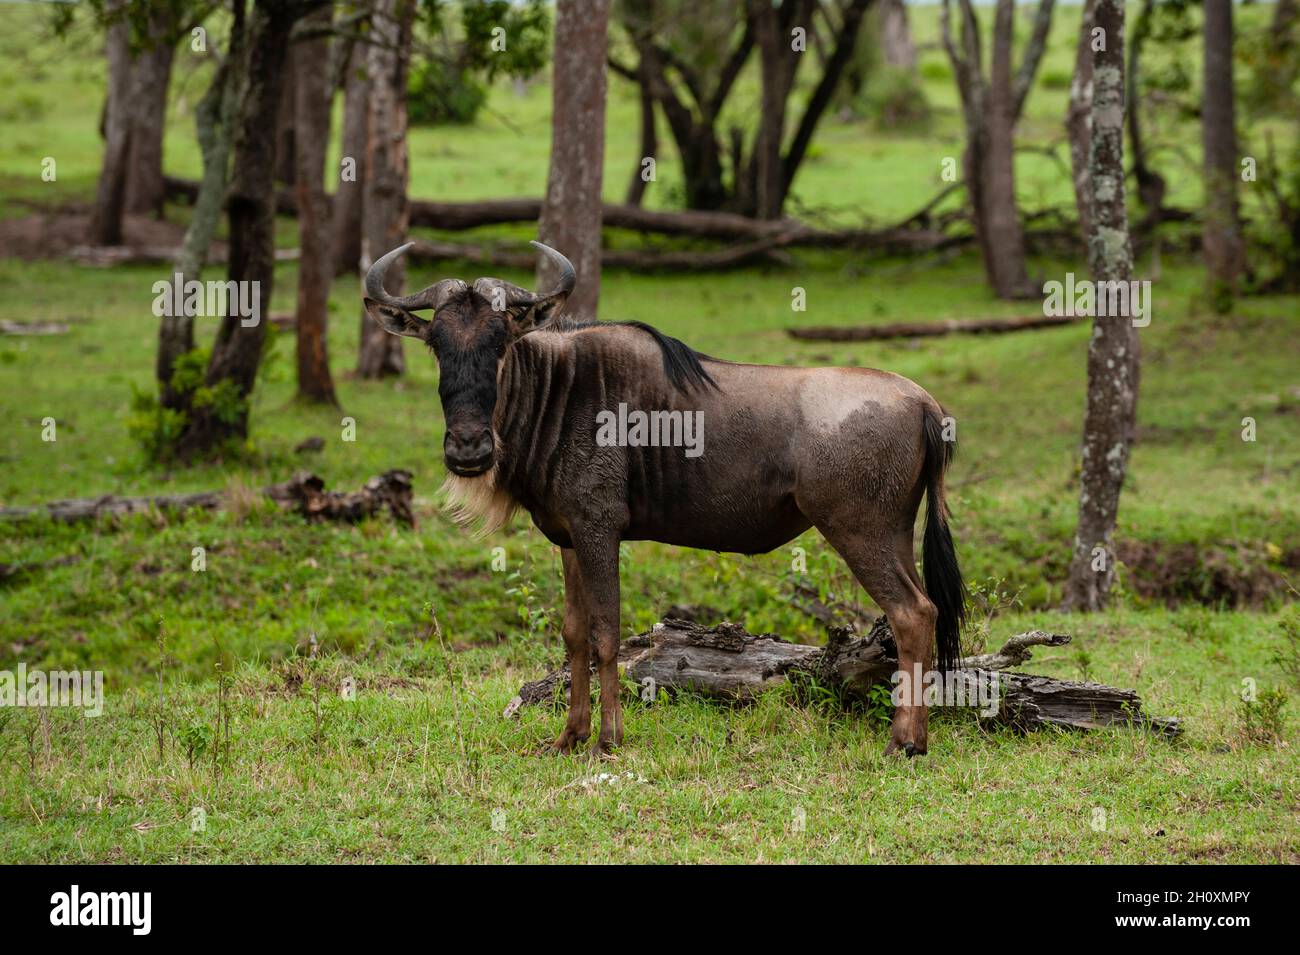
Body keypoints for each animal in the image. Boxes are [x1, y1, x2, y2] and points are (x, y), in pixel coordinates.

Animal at [364, 242, 965, 758]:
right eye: (437, 345)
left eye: (500, 343)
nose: (468, 450)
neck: (557, 391)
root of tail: (924, 403)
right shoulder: (568, 537)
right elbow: (574, 634)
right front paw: (568, 738)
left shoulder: (599, 529)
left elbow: (607, 634)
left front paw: (608, 741)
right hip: (893, 534)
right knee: (924, 612)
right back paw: (915, 739)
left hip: (859, 532)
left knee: (912, 614)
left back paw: (903, 742)